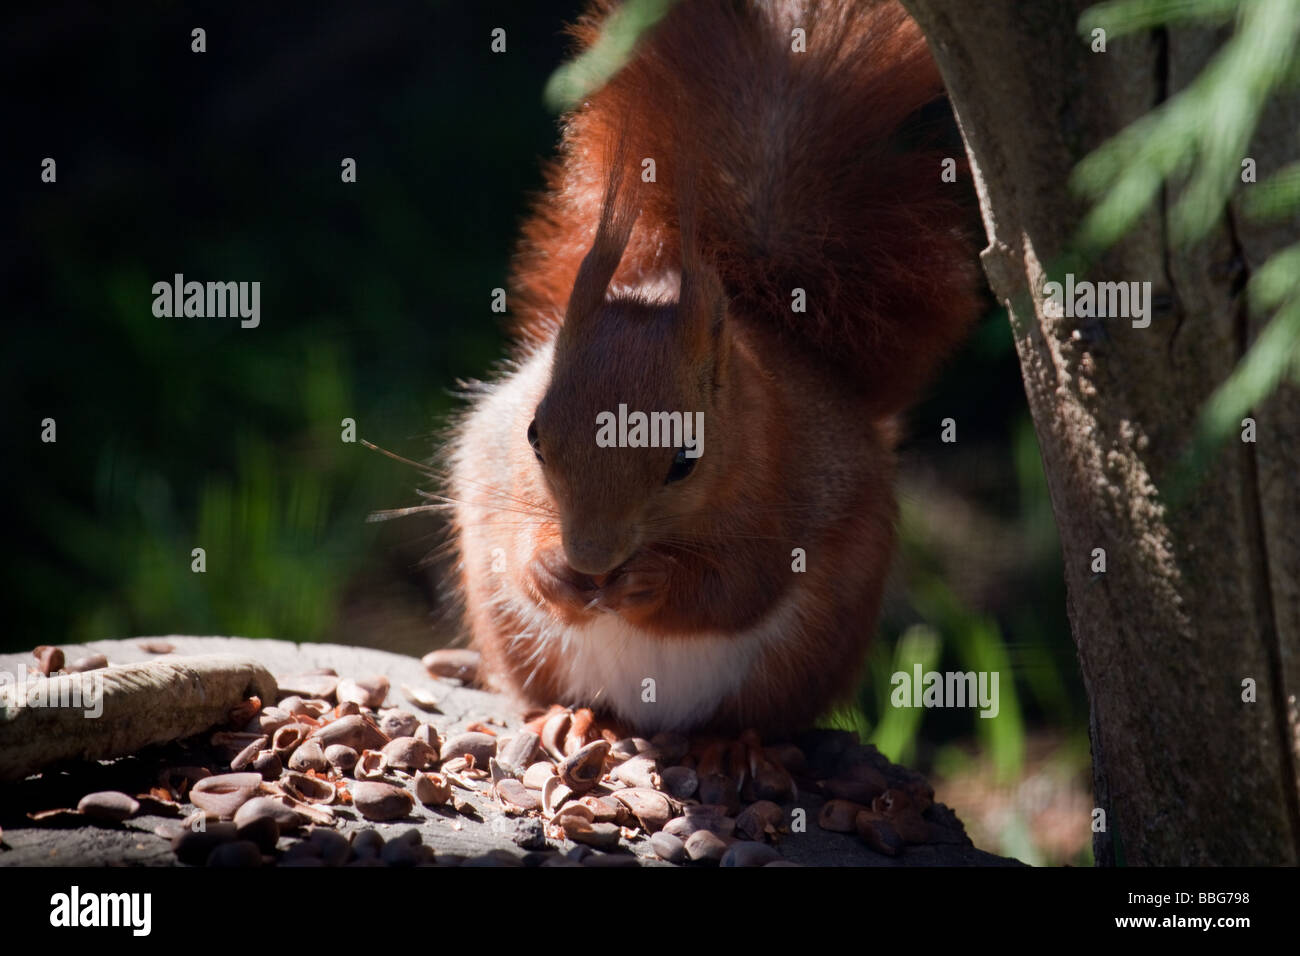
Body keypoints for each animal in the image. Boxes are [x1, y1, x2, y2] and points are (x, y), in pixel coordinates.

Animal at [445, 0, 982, 737]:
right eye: (534, 437)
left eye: (685, 460)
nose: (592, 560)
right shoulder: (497, 466)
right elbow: (510, 536)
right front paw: (550, 568)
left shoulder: (788, 484)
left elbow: (738, 587)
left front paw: (654, 581)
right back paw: (572, 719)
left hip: (803, 658)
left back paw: (733, 746)